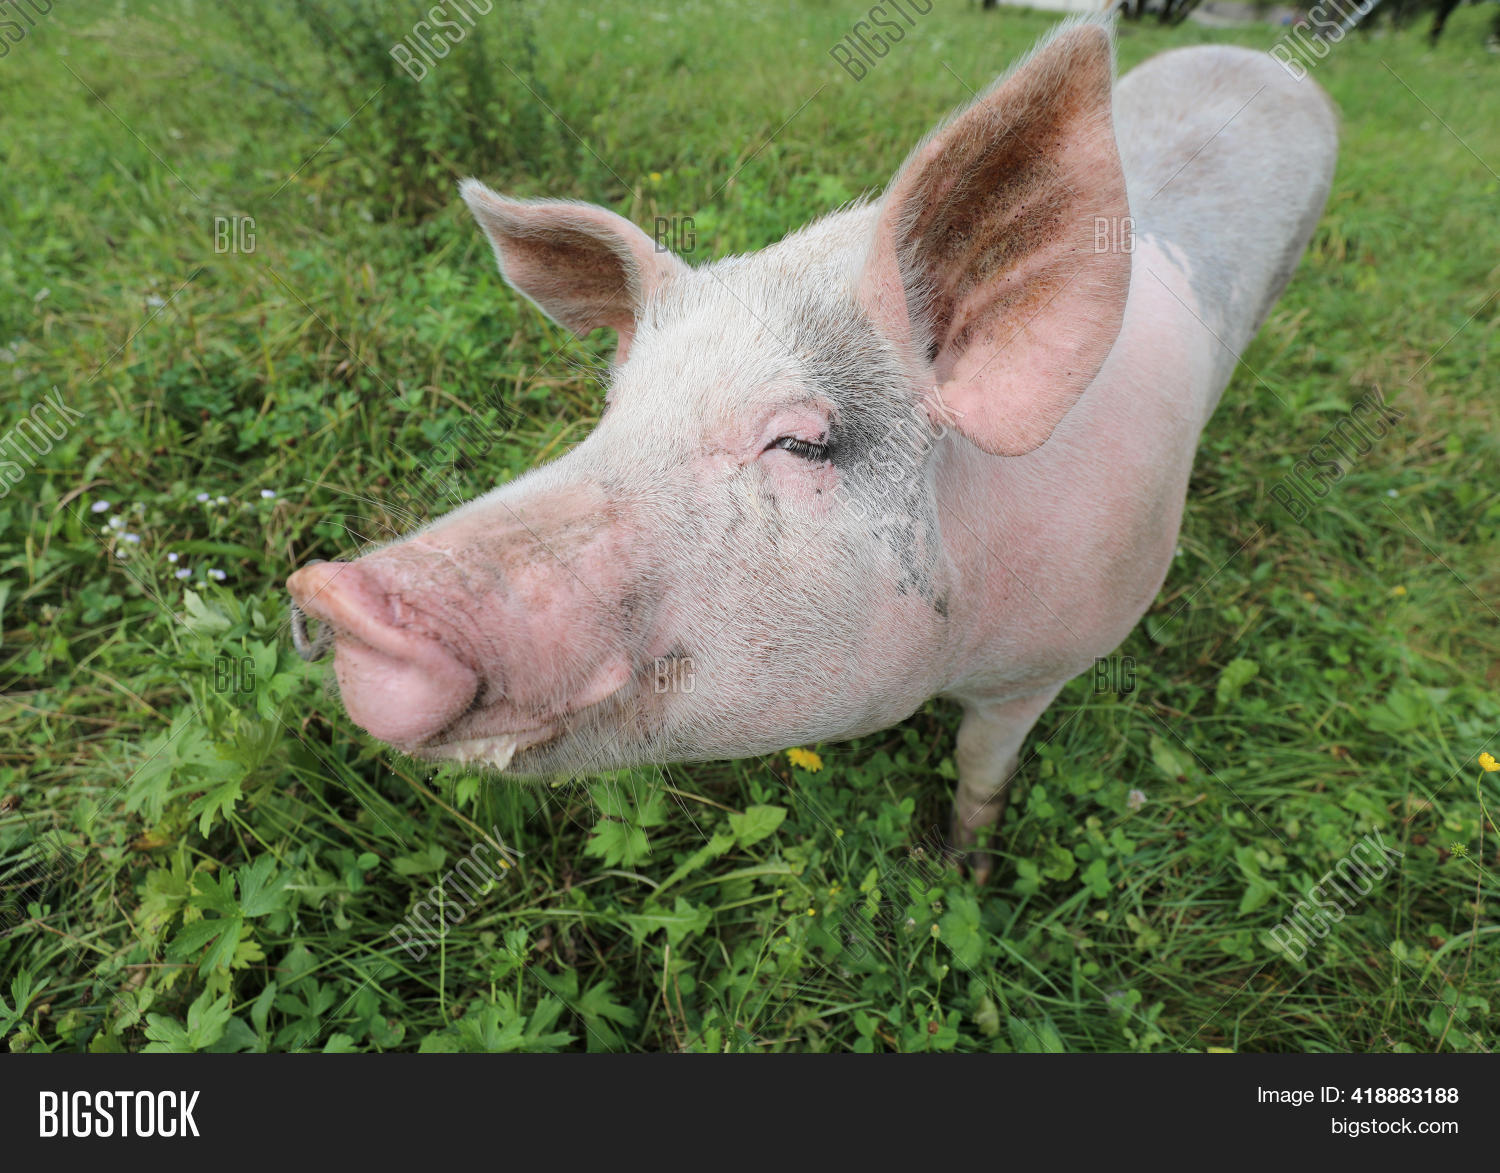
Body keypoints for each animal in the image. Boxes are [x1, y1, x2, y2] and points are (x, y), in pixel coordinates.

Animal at [288, 19, 1338, 881]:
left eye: (799, 441)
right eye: (614, 412)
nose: (331, 591)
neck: (956, 648)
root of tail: (1257, 59)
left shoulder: (1048, 665)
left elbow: (981, 766)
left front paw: (964, 866)